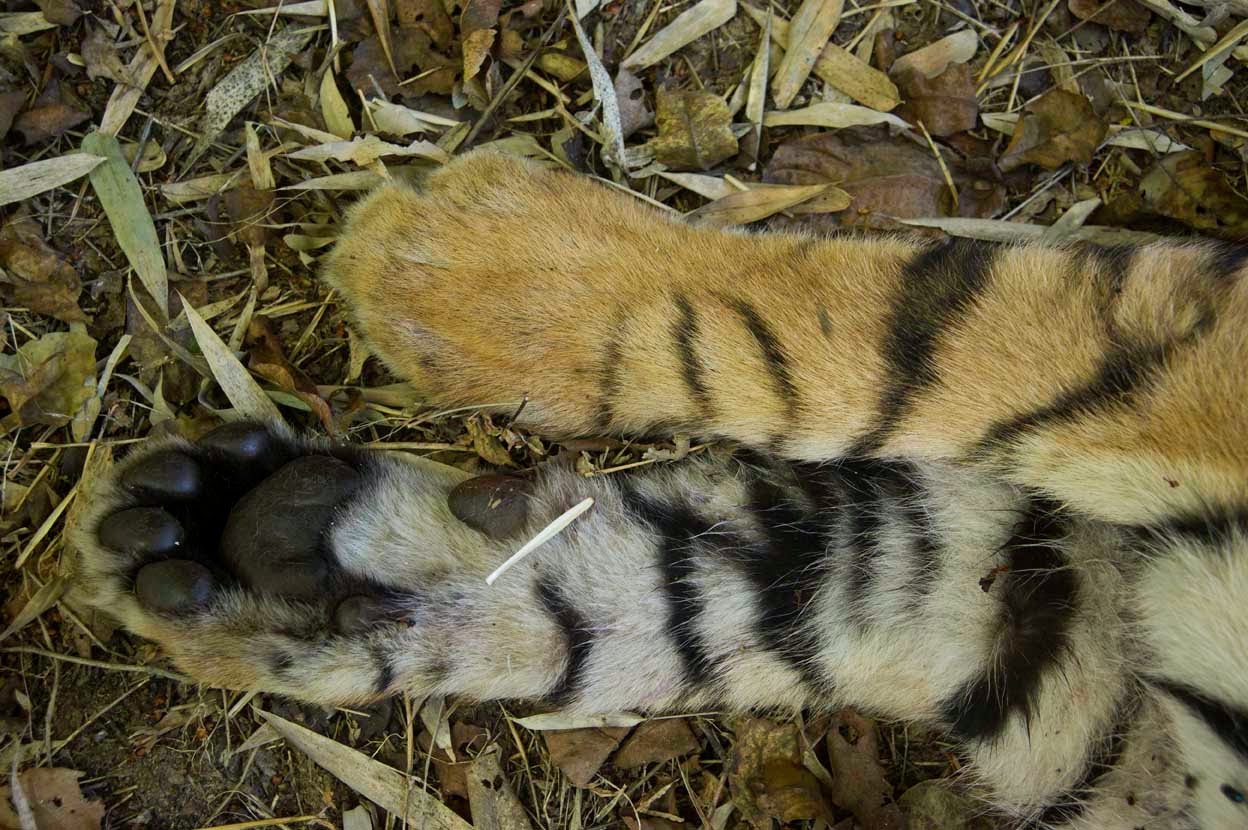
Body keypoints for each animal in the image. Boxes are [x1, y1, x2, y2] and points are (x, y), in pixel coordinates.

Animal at [71, 150, 1248, 829]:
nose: (226, 540)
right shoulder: (1043, 636)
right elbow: (708, 591)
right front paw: (255, 550)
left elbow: (890, 331)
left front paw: (466, 266)